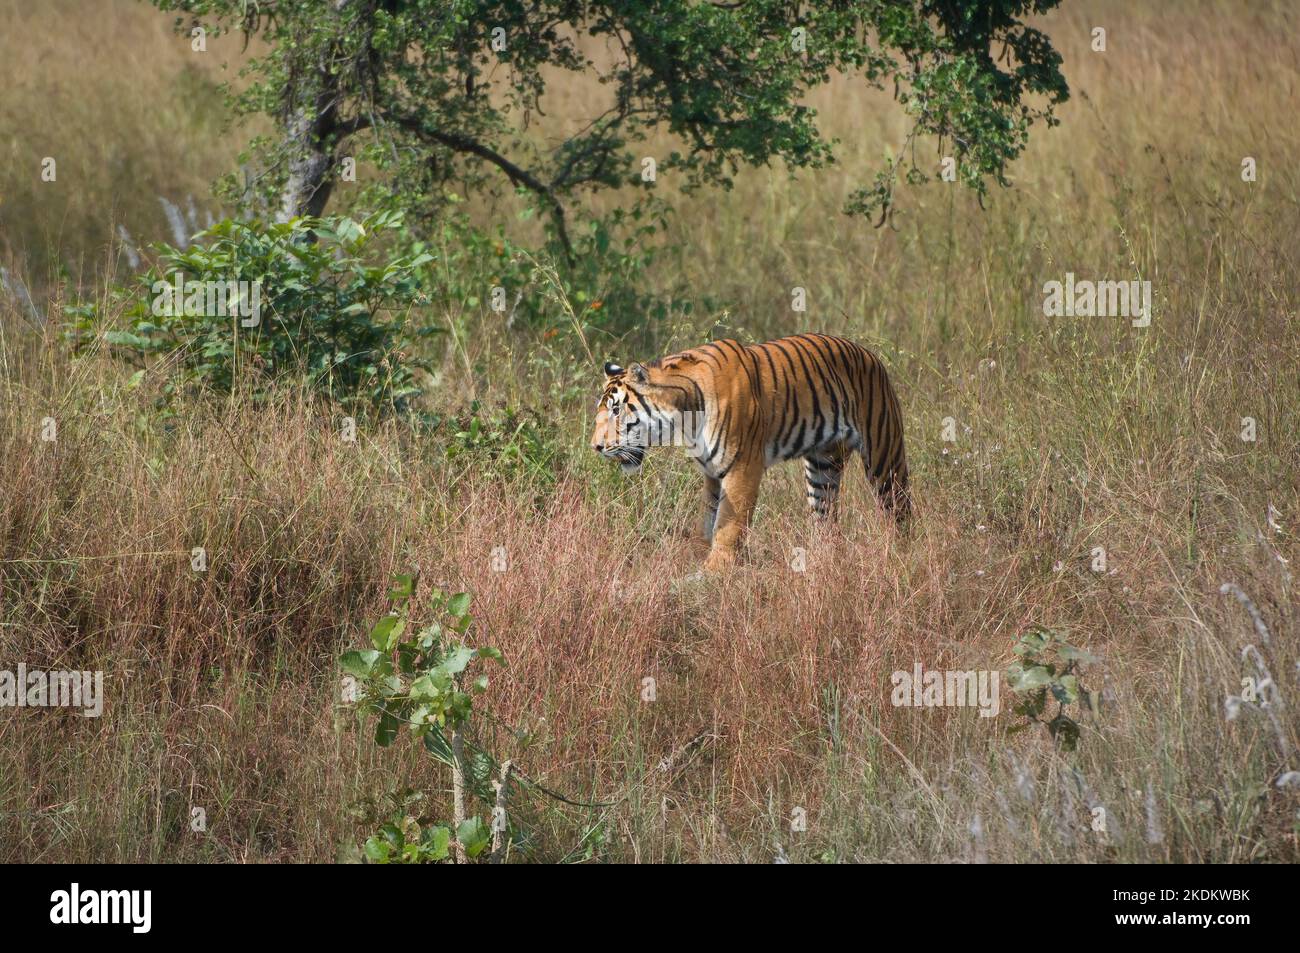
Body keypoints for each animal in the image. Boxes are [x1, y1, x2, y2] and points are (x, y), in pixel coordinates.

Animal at [591, 333, 909, 571]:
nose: (596, 447)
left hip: (884, 456)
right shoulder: (712, 474)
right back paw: (820, 562)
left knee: (898, 509)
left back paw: (899, 555)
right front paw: (697, 556)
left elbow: (727, 527)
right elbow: (707, 521)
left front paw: (712, 573)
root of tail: (869, 353)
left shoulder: (742, 468)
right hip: (822, 468)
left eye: (616, 410)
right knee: (826, 520)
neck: (686, 417)